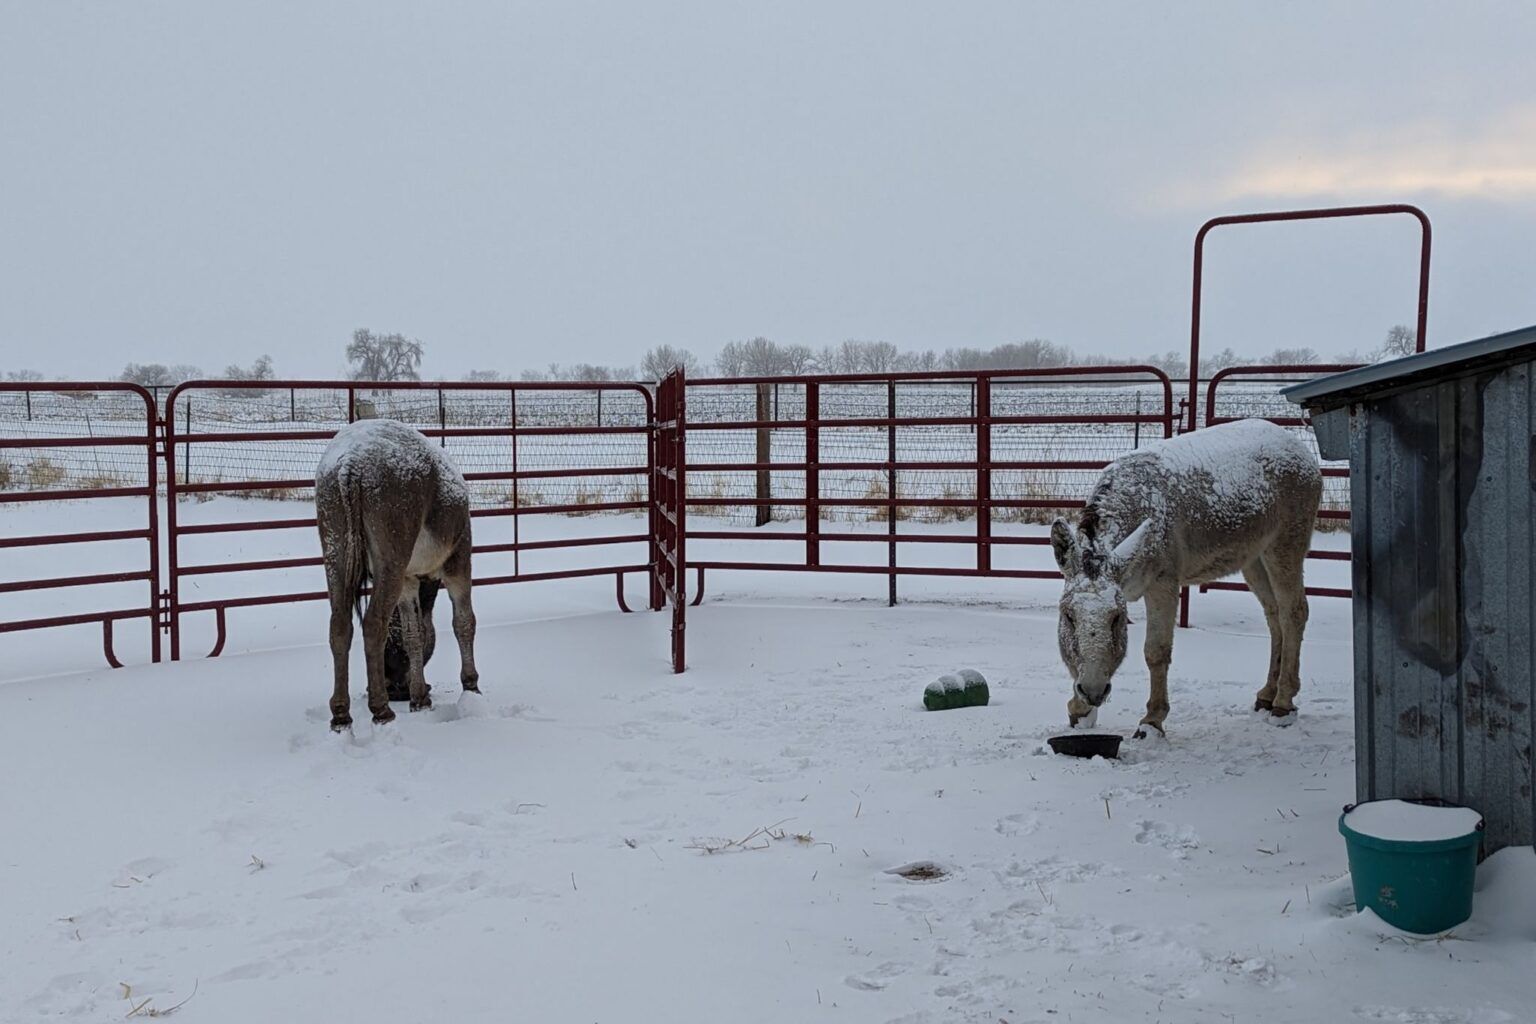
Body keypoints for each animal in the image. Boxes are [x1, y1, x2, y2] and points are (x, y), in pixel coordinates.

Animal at [315, 419, 480, 730]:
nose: (397, 691)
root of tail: (351, 462)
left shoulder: (408, 581)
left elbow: (414, 633)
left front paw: (419, 698)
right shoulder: (459, 561)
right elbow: (464, 623)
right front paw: (471, 687)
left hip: (335, 552)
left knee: (339, 626)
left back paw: (341, 714)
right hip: (390, 559)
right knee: (373, 624)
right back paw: (381, 710)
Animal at [1048, 418, 1321, 737]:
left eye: (1117, 617)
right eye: (1068, 616)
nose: (1093, 691)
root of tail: (1302, 450)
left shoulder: (1163, 582)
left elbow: (1156, 652)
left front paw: (1152, 721)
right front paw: (1079, 711)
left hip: (1286, 543)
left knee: (1294, 612)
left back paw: (1284, 701)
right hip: (1255, 558)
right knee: (1274, 614)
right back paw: (1267, 694)